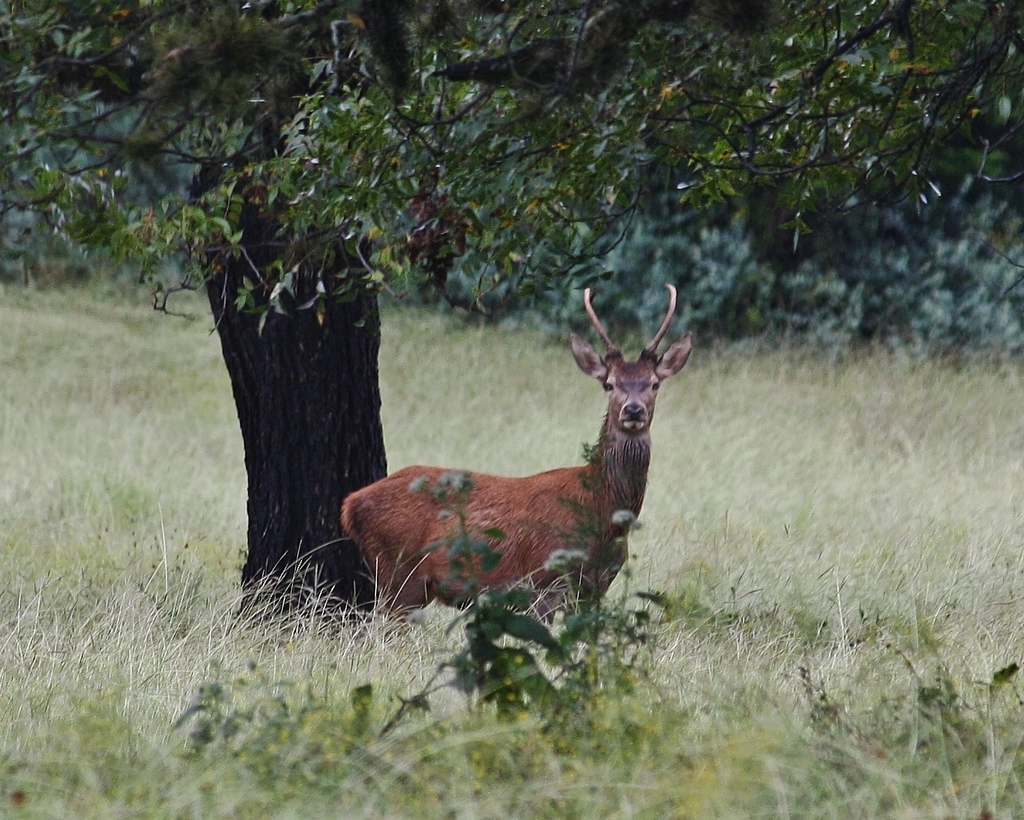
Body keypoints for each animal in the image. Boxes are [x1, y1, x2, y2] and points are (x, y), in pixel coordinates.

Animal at [341, 284, 692, 616]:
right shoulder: (543, 581)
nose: (633, 410)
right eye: (609, 384)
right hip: (398, 574)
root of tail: (351, 505)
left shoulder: (596, 587)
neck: (600, 512)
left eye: (654, 383)